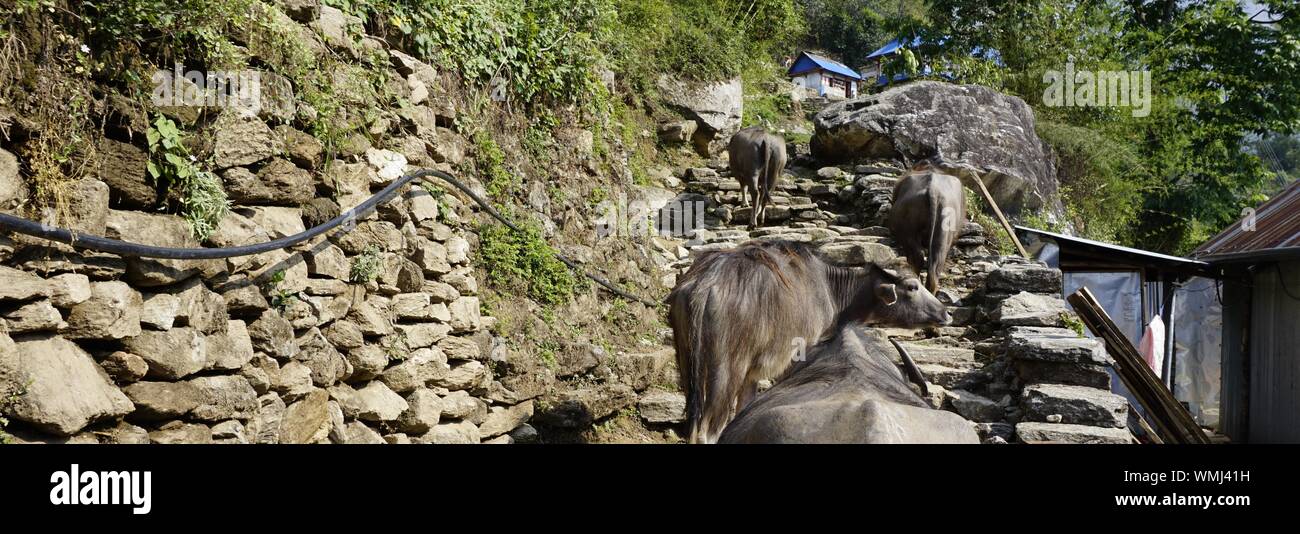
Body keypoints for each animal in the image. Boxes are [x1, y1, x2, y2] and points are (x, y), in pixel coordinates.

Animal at [666, 239, 951, 444]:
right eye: (913, 287)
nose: (945, 313)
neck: (830, 288)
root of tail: (704, 286)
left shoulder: (751, 374)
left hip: (688, 366)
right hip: (725, 371)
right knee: (707, 431)